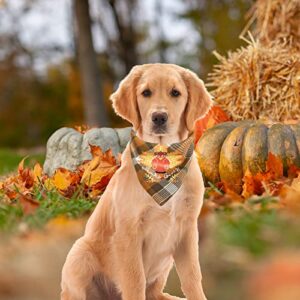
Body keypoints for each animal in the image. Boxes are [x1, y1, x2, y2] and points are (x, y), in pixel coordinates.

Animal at [60, 63, 211, 300]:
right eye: (146, 93)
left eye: (175, 93)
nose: (159, 117)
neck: (162, 159)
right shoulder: (128, 230)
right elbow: (134, 280)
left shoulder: (187, 228)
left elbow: (192, 277)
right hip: (80, 253)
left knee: (155, 292)